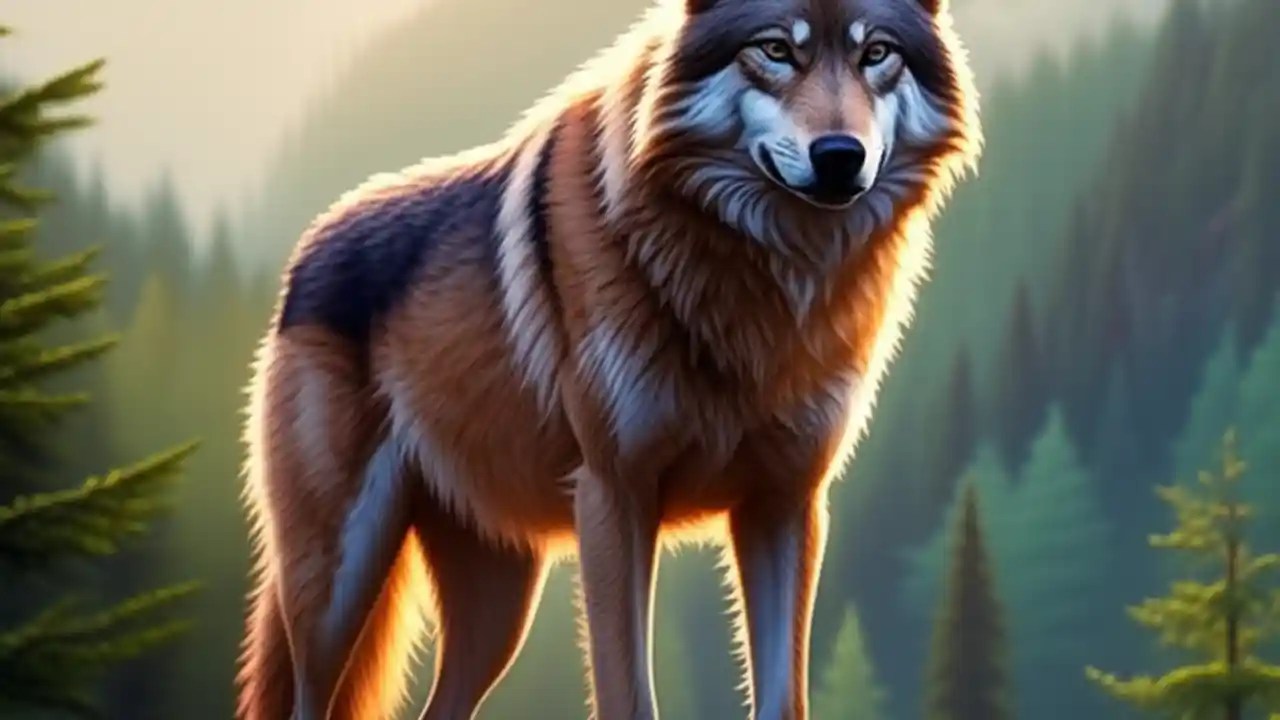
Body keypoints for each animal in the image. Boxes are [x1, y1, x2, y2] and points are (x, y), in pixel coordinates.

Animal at [235, 0, 980, 718]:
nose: (839, 155)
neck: (761, 280)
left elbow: (782, 696)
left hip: (499, 605)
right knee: (305, 700)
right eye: (774, 49)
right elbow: (628, 693)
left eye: (875, 53)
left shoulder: (786, 504)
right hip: (337, 587)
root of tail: (310, 244)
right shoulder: (614, 497)